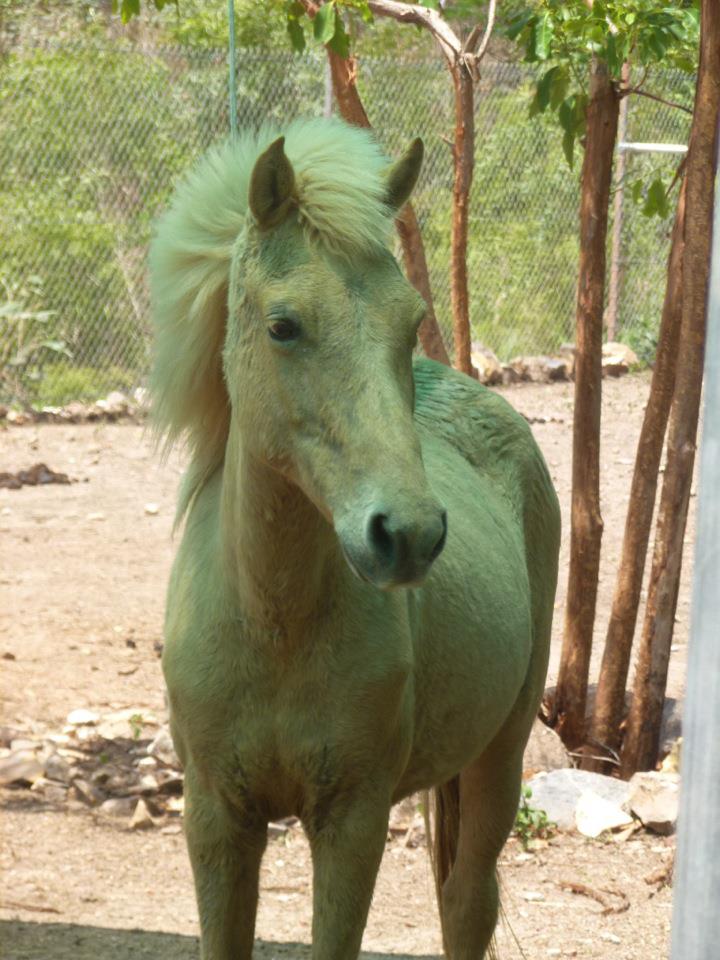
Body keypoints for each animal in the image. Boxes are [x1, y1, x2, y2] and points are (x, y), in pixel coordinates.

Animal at [150, 116, 560, 960]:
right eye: (283, 325)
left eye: (408, 323)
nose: (407, 534)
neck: (273, 623)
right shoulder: (217, 821)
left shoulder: (352, 821)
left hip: (500, 756)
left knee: (468, 902)